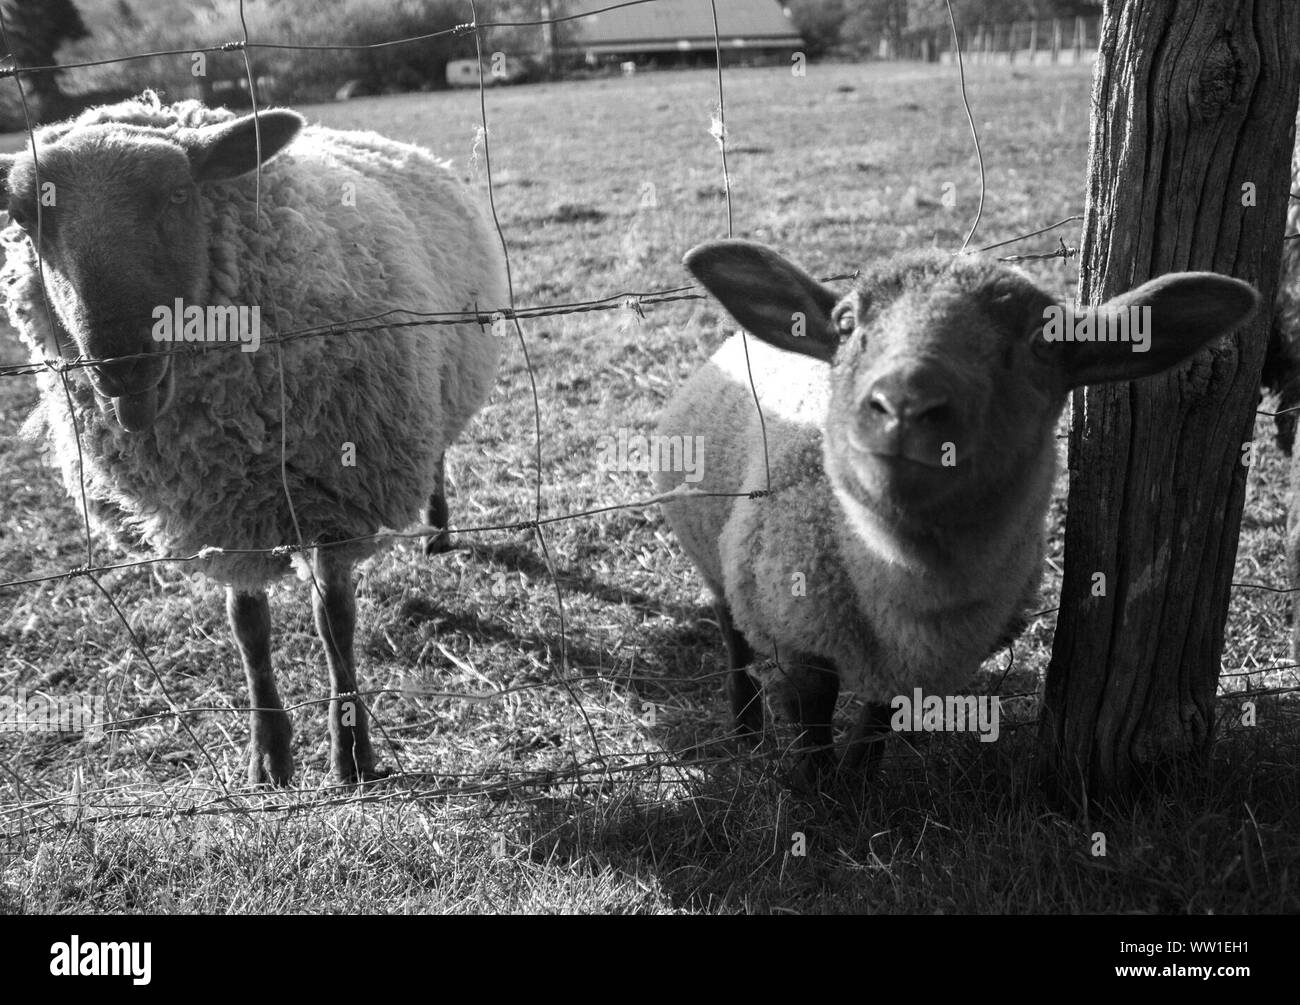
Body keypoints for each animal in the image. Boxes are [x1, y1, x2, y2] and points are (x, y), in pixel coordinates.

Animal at [0, 93, 507, 786]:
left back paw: (440, 531)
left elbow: (333, 620)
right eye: (23, 217)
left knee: (436, 460)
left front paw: (351, 749)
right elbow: (248, 629)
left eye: (179, 194)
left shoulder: (334, 501)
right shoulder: (224, 510)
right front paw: (269, 753)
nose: (120, 365)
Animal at [654, 239, 1258, 784]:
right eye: (845, 325)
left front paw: (857, 781)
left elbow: (880, 716)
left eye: (1044, 340)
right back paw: (745, 728)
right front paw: (815, 790)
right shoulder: (798, 629)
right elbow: (812, 713)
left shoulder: (919, 661)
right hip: (714, 552)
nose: (905, 403)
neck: (908, 584)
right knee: (732, 632)